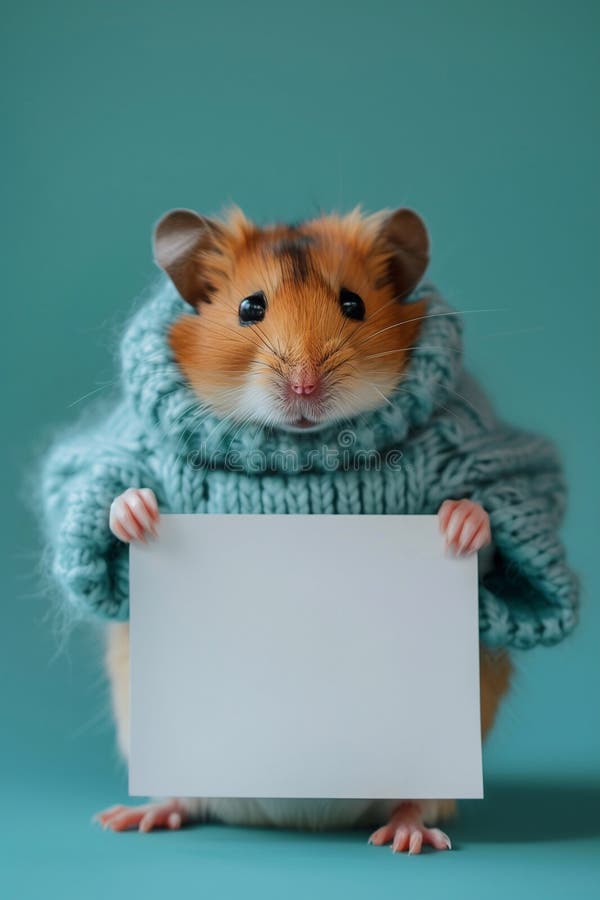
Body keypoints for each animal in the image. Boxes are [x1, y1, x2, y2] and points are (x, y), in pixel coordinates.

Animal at [96, 206, 509, 853]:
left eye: (353, 304)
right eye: (250, 307)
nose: (305, 387)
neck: (301, 447)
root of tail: (302, 815)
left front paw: (460, 522)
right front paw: (137, 511)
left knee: (418, 801)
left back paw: (407, 836)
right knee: (186, 796)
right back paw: (133, 816)